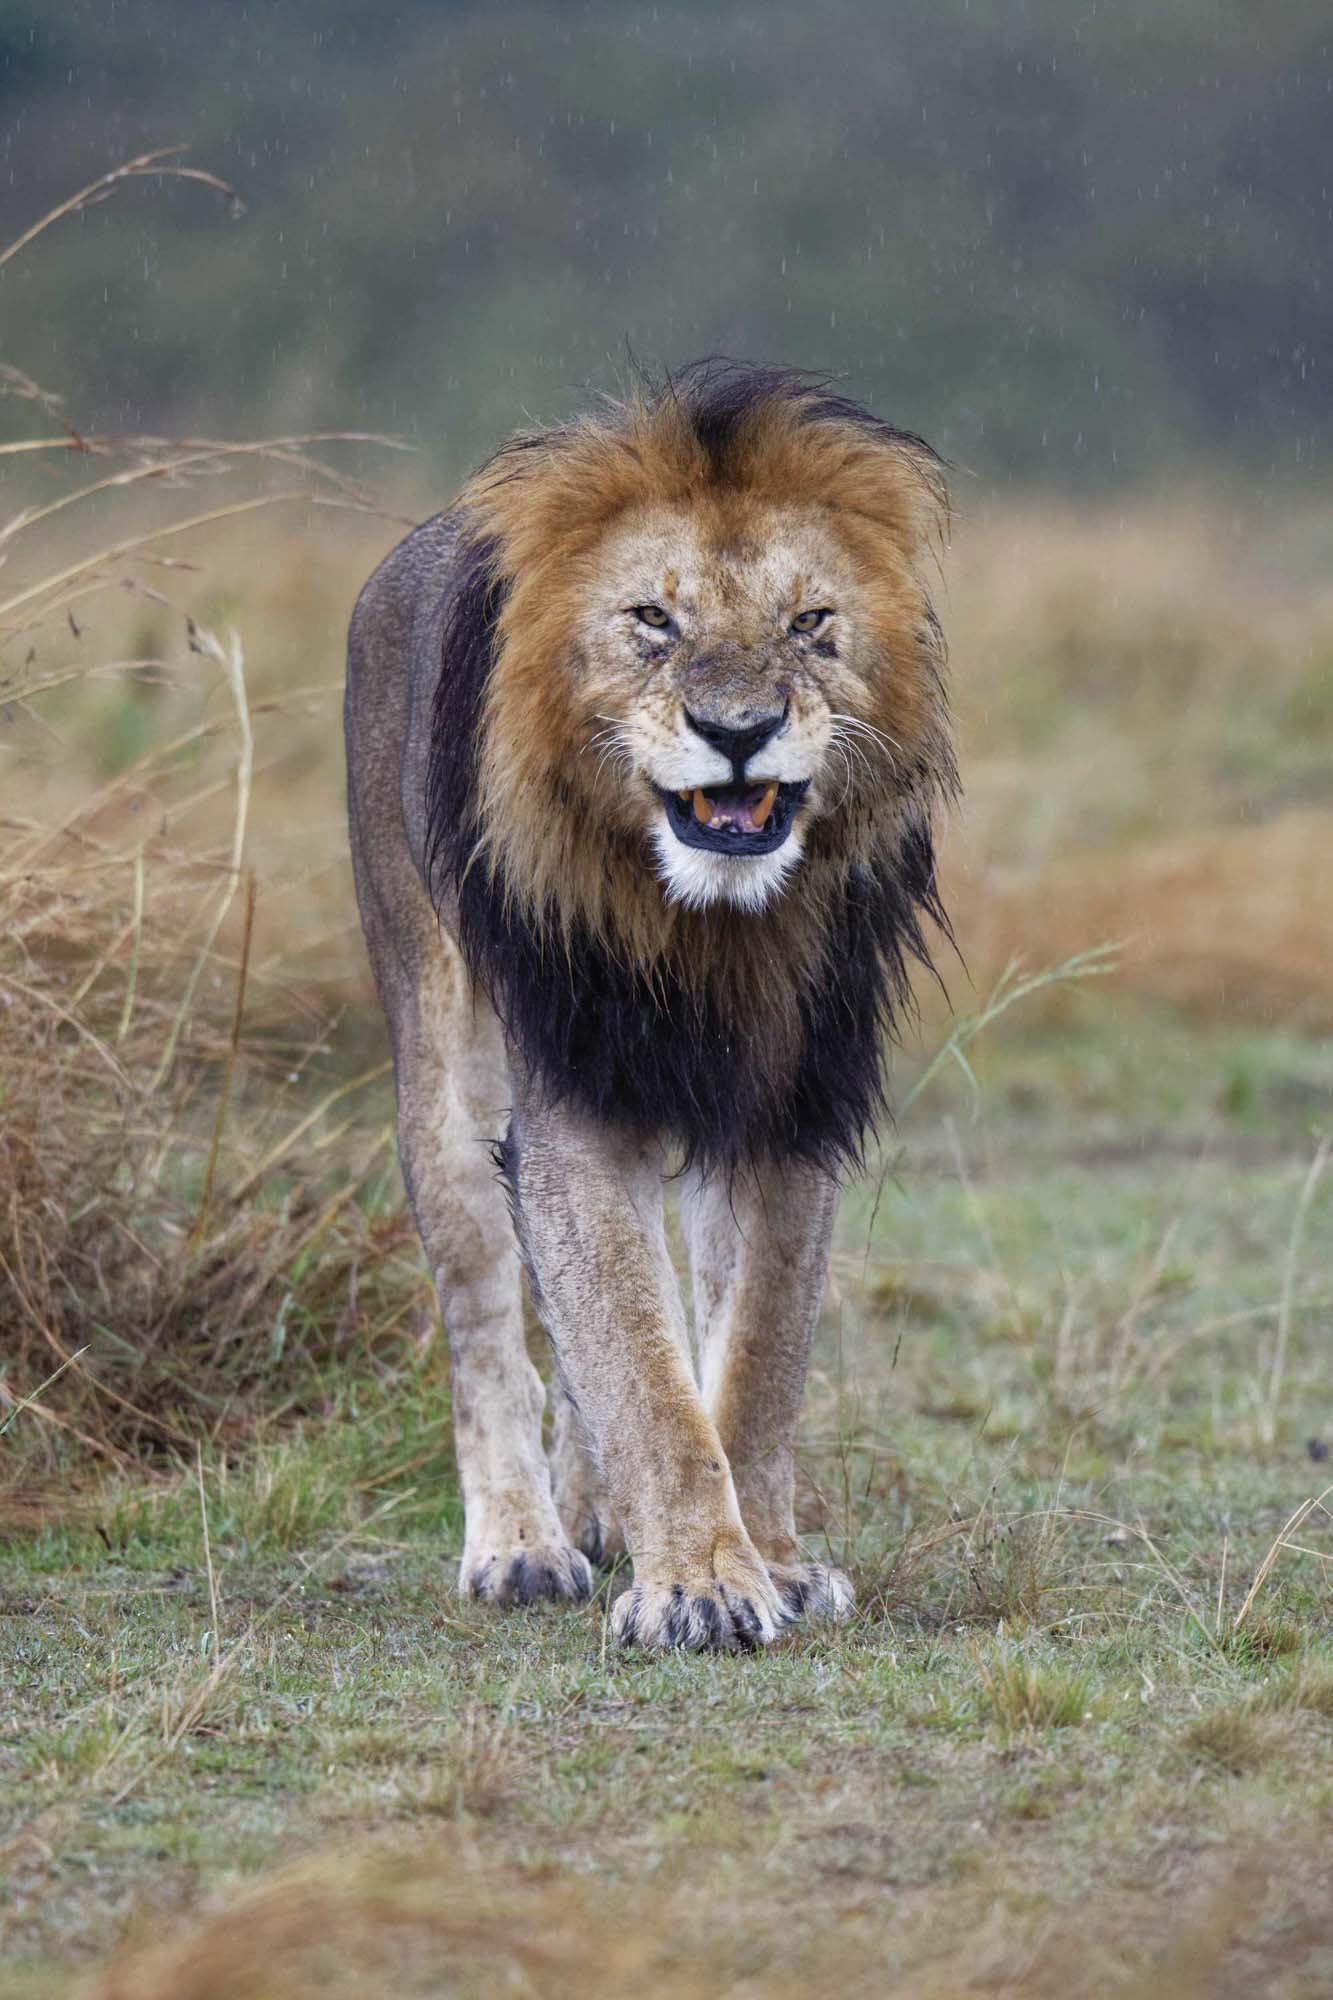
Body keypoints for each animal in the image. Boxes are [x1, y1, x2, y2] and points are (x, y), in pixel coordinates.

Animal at [344, 361, 953, 1651]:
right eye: (652, 621)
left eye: (808, 621)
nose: (737, 732)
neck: (707, 929)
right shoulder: (572, 1096)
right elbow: (639, 1364)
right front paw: (702, 1587)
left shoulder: (788, 1106)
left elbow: (753, 1357)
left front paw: (772, 1562)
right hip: (441, 1064)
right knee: (487, 1316)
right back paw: (522, 1546)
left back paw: (597, 1514)